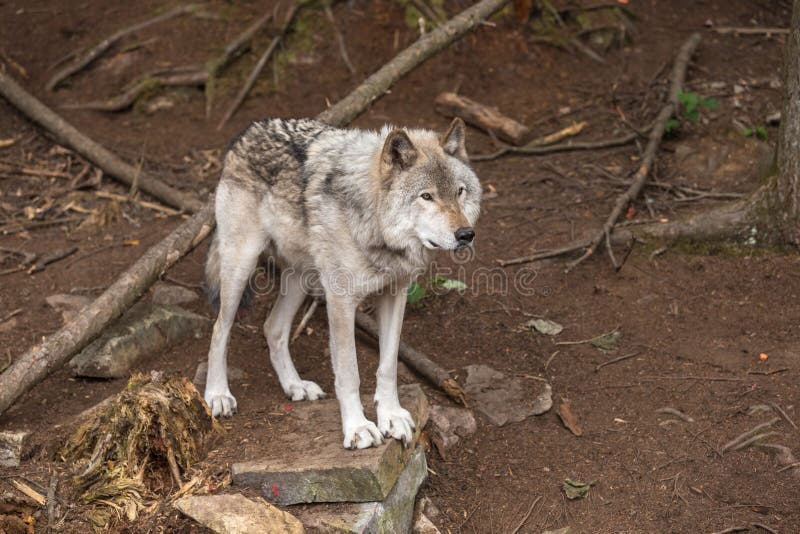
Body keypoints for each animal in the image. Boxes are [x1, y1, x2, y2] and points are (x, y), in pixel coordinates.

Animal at [204, 116, 481, 449]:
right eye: (426, 196)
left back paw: (295, 385)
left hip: (302, 278)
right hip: (241, 266)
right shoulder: (341, 302)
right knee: (219, 330)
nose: (465, 234)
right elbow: (349, 373)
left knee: (273, 328)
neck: (374, 225)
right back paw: (217, 395)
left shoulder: (395, 294)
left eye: (460, 192)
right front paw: (358, 428)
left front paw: (391, 416)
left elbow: (388, 366)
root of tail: (249, 131)